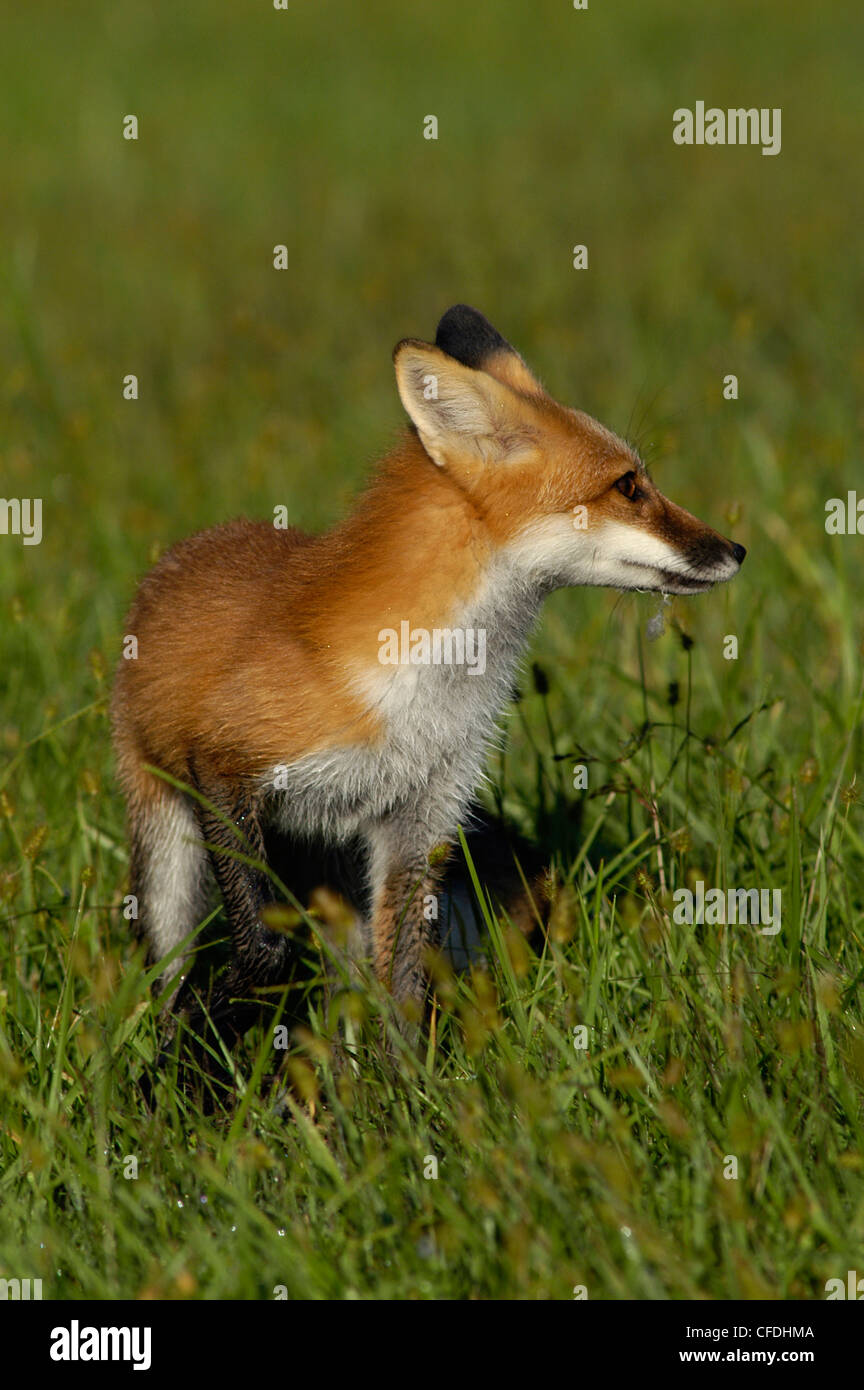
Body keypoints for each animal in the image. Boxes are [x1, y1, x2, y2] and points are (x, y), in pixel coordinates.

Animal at [112, 304, 745, 1072]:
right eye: (628, 486)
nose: (736, 550)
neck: (427, 692)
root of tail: (176, 556)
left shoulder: (417, 821)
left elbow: (404, 989)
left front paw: (403, 1093)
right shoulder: (225, 764)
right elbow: (263, 951)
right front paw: (201, 1036)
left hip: (333, 867)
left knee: (349, 980)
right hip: (169, 852)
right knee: (170, 965)